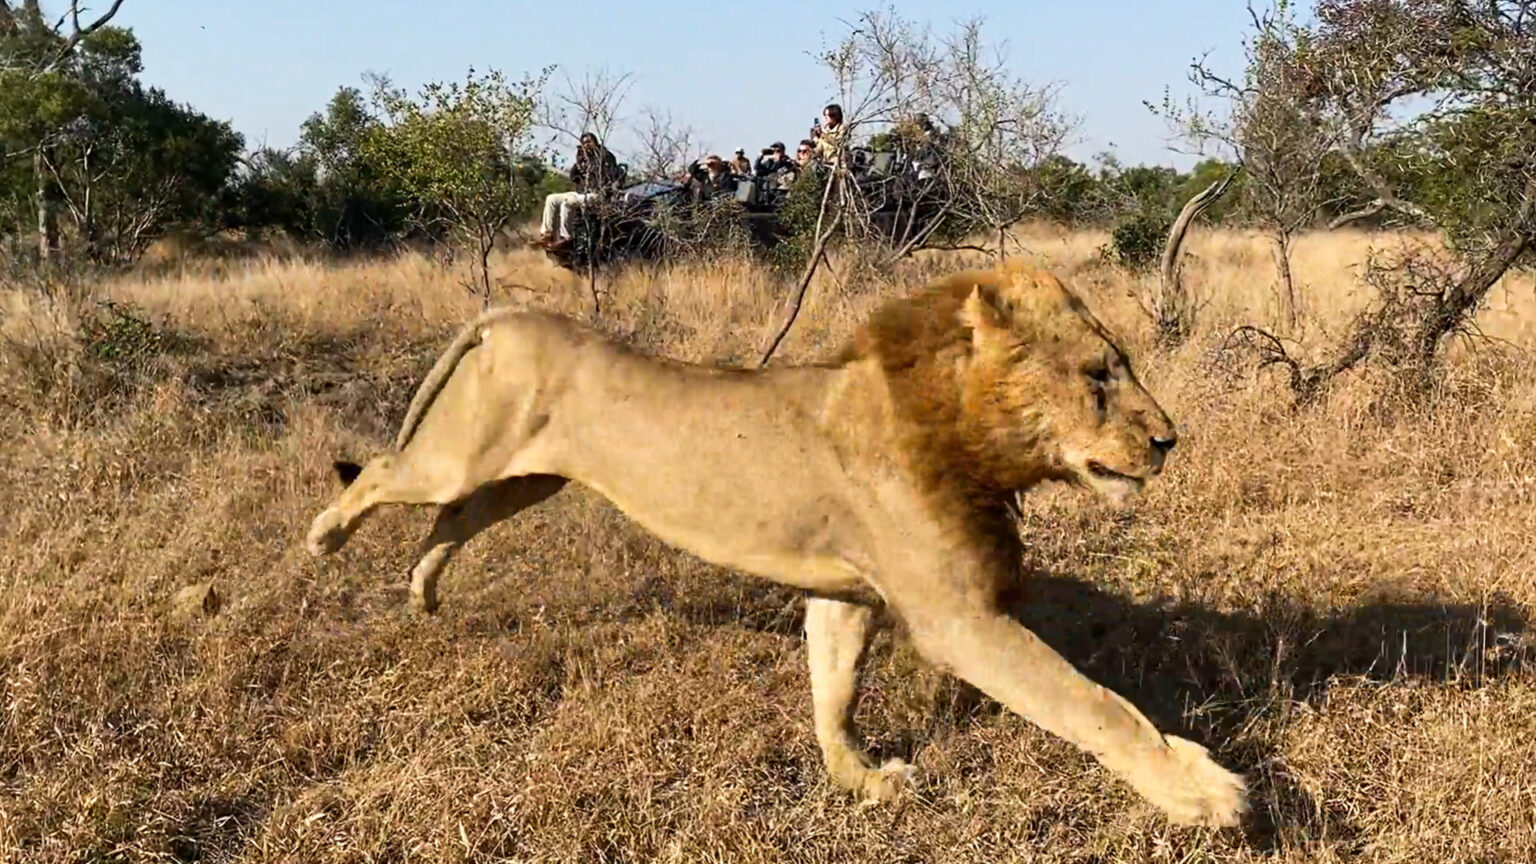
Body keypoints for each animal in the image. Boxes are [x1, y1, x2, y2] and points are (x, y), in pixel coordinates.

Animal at [304, 260, 1250, 828]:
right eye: (1099, 375)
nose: (1168, 440)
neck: (964, 431)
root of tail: (510, 313)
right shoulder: (958, 620)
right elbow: (1094, 704)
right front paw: (1204, 791)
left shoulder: (844, 591)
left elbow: (833, 692)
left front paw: (860, 781)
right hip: (458, 458)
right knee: (380, 471)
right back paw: (321, 538)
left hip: (524, 479)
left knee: (447, 522)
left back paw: (422, 593)